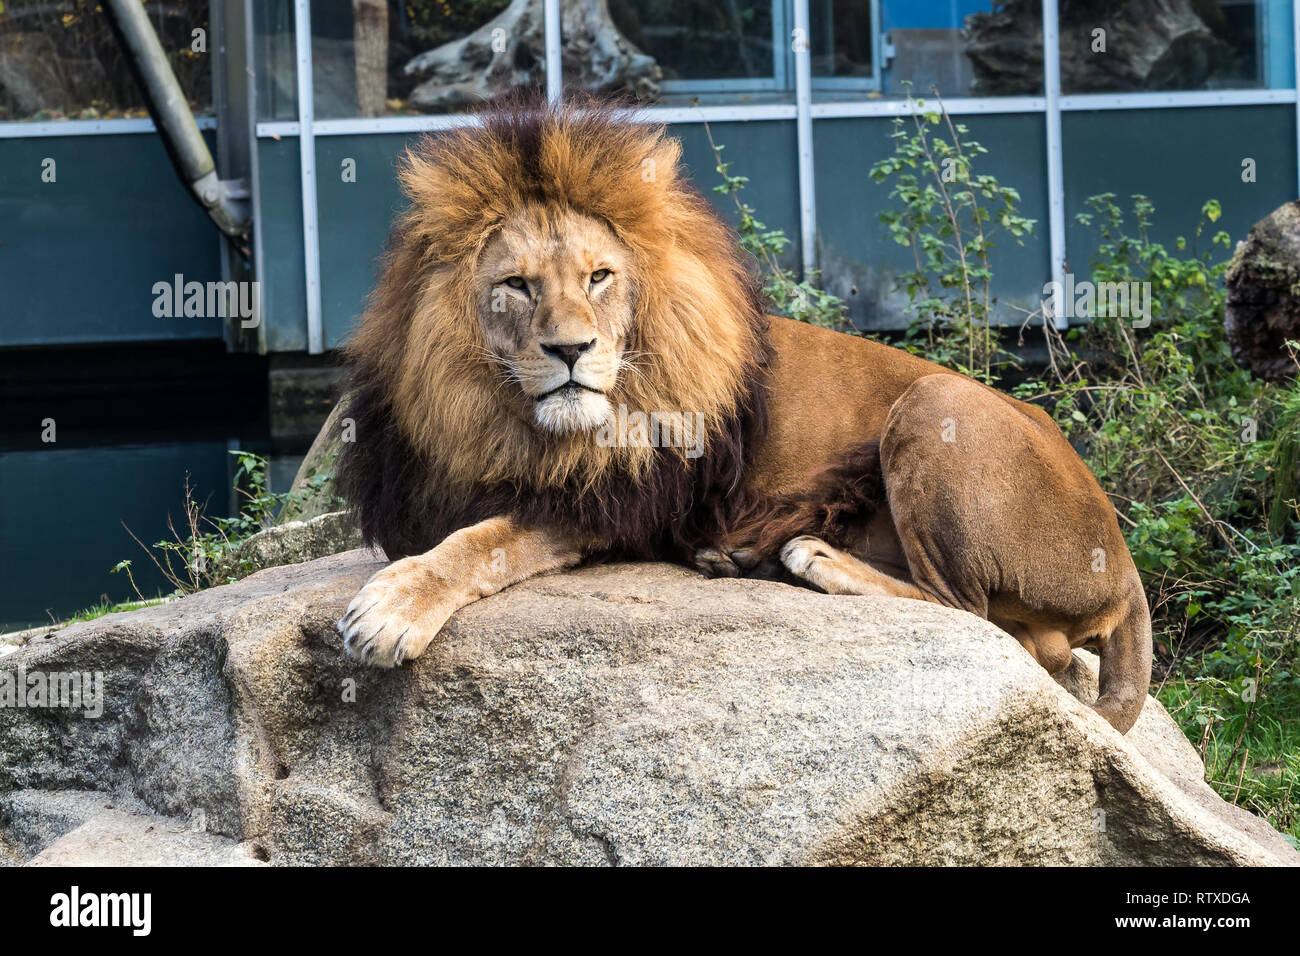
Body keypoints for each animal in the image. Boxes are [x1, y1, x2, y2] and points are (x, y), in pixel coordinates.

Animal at [337, 99, 1152, 734]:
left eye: (599, 277)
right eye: (515, 285)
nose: (571, 349)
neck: (499, 415)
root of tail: (1124, 561)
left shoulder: (616, 499)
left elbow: (488, 542)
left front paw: (391, 608)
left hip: (935, 401)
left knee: (991, 626)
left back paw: (815, 558)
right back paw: (743, 557)